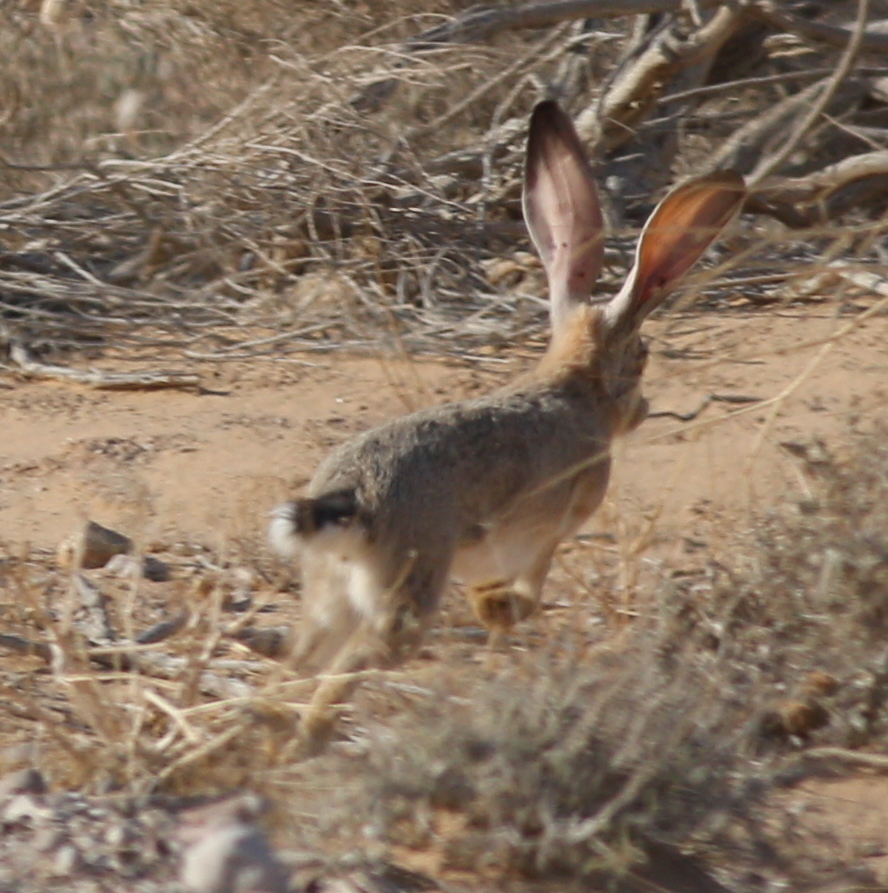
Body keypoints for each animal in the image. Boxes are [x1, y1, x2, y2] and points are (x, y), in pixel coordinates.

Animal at [270, 99, 745, 682]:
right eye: (642, 356)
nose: (643, 409)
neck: (572, 385)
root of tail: (351, 497)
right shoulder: (548, 532)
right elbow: (530, 593)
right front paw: (498, 608)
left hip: (330, 593)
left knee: (299, 664)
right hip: (411, 581)